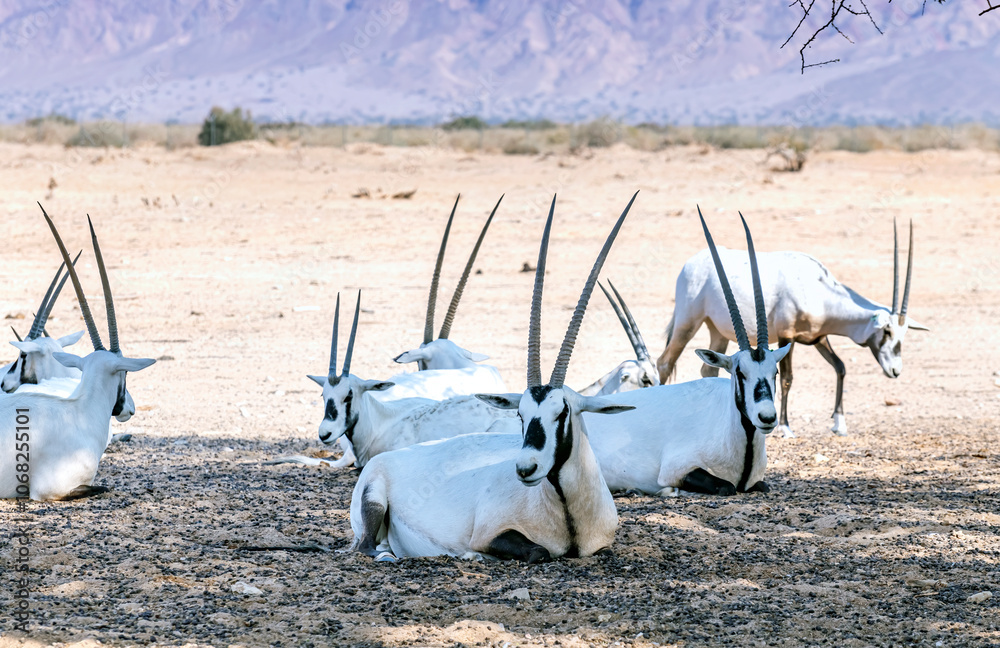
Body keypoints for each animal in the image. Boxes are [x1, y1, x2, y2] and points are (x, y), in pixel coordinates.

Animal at [349, 192, 637, 562]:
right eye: (520, 415)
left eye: (562, 412)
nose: (526, 469)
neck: (568, 513)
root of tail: (383, 458)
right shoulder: (488, 535)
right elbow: (538, 552)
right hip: (373, 501)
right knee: (367, 546)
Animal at [581, 209, 790, 496]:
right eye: (740, 372)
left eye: (774, 372)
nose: (767, 417)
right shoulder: (677, 470)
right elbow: (725, 486)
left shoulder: (757, 482)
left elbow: (762, 485)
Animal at [655, 219, 927, 437]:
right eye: (887, 331)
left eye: (904, 334)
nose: (895, 370)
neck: (816, 287)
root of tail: (692, 262)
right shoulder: (788, 336)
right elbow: (787, 378)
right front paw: (786, 427)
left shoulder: (818, 337)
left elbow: (840, 367)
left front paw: (839, 423)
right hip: (688, 322)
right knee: (665, 363)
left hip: (718, 332)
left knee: (707, 369)